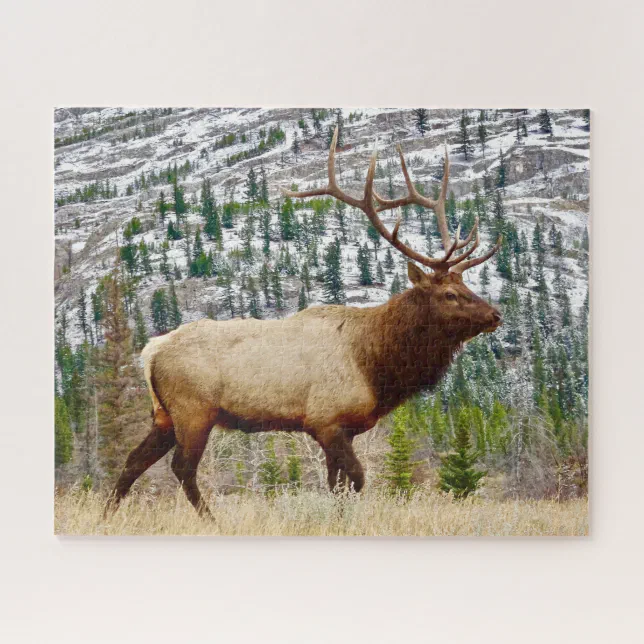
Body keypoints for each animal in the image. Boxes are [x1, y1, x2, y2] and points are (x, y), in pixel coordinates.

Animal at [107, 127, 502, 519]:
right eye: (449, 294)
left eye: (466, 284)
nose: (495, 314)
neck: (375, 365)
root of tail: (150, 351)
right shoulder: (324, 420)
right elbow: (357, 479)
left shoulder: (345, 428)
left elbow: (337, 485)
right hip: (194, 410)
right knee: (182, 468)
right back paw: (211, 520)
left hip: (164, 416)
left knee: (132, 461)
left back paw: (109, 513)